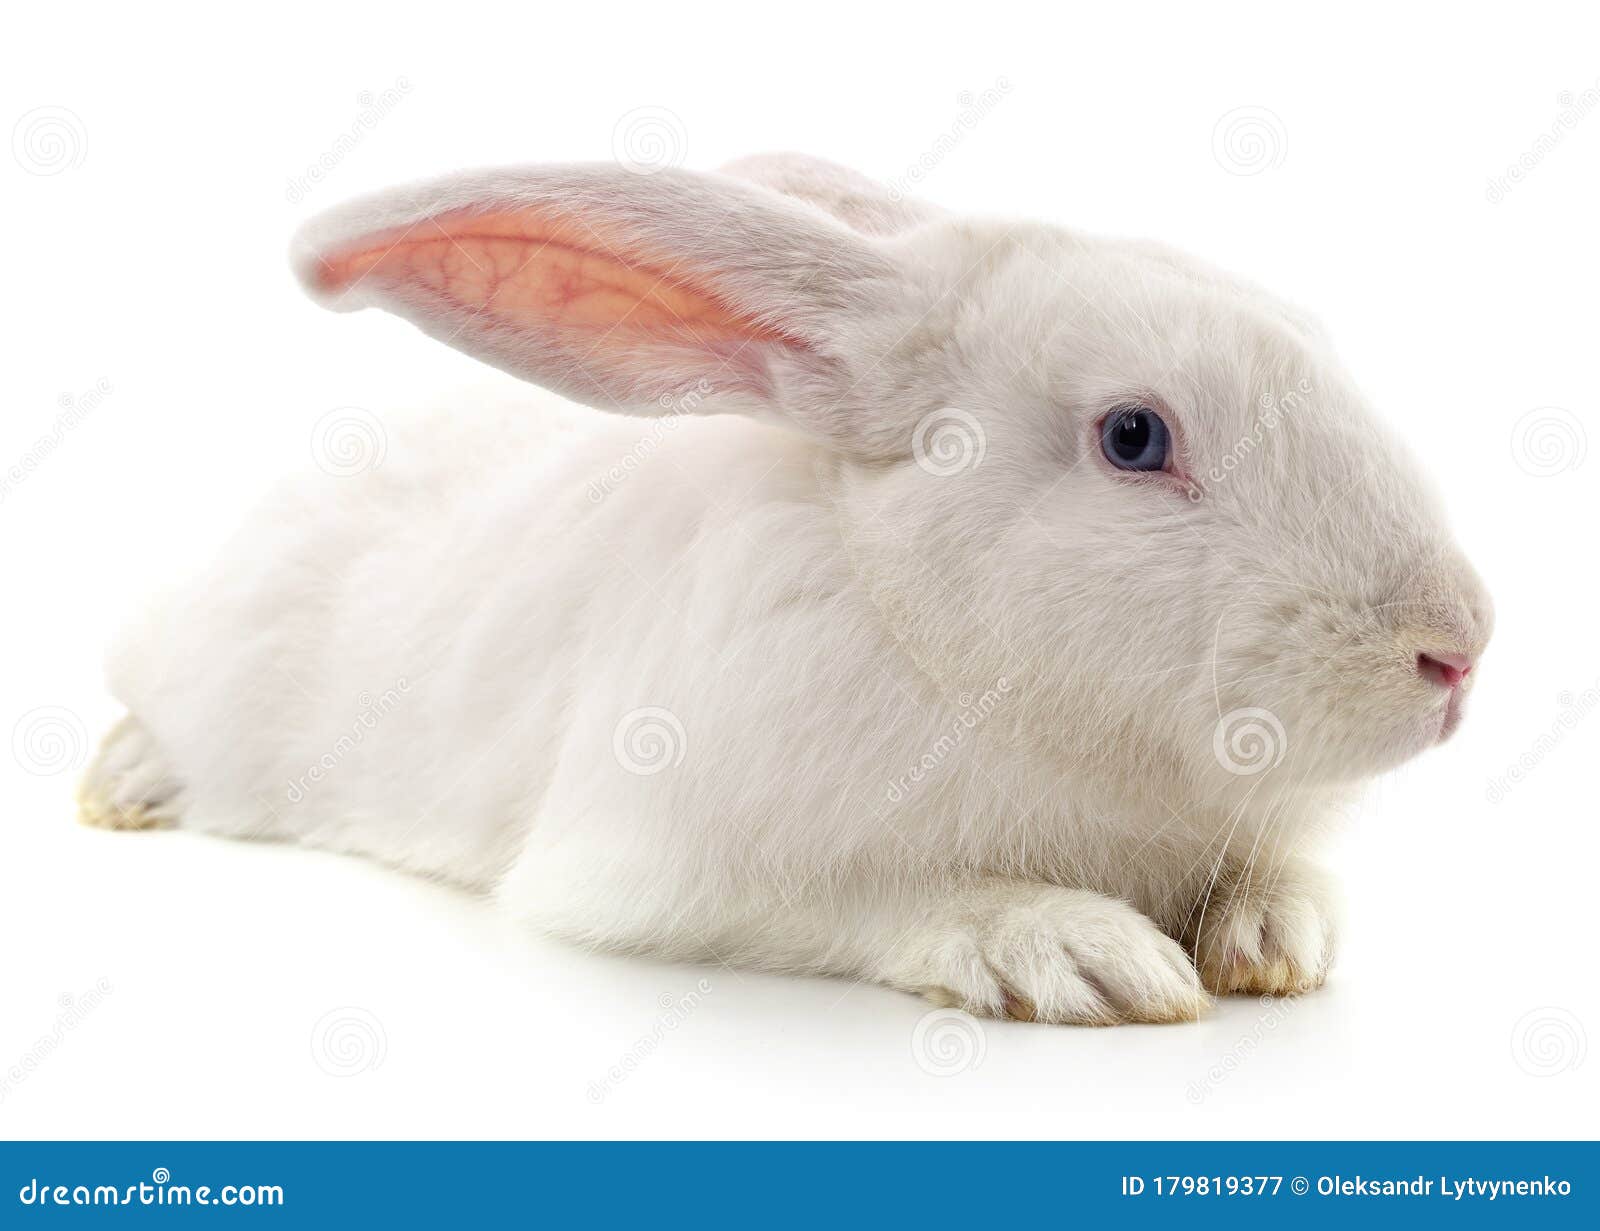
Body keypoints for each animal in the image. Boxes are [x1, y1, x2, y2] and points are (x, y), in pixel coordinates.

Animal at [79, 152, 1492, 1025]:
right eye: (1134, 437)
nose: (1459, 649)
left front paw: (1276, 940)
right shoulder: (672, 867)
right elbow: (881, 902)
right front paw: (1073, 952)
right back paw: (125, 784)